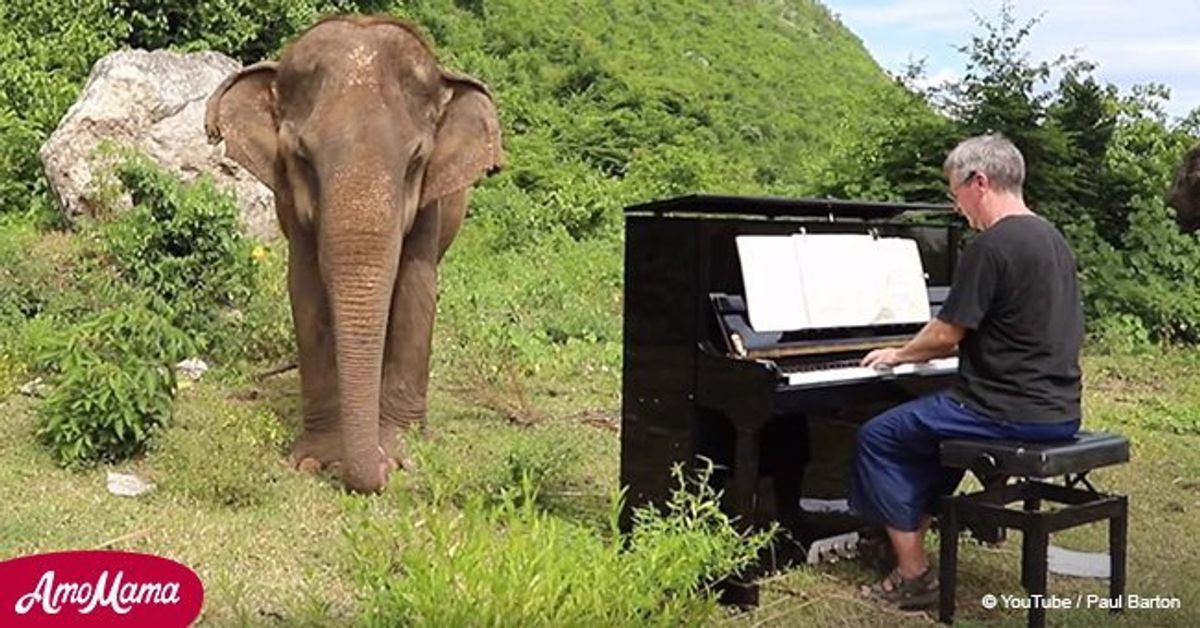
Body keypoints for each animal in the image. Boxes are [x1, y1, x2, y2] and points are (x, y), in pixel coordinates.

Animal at [204, 15, 503, 492]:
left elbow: (416, 290)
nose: (376, 468)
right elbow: (305, 291)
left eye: (416, 160)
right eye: (302, 157)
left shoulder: (430, 206)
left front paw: (401, 453)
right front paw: (317, 460)